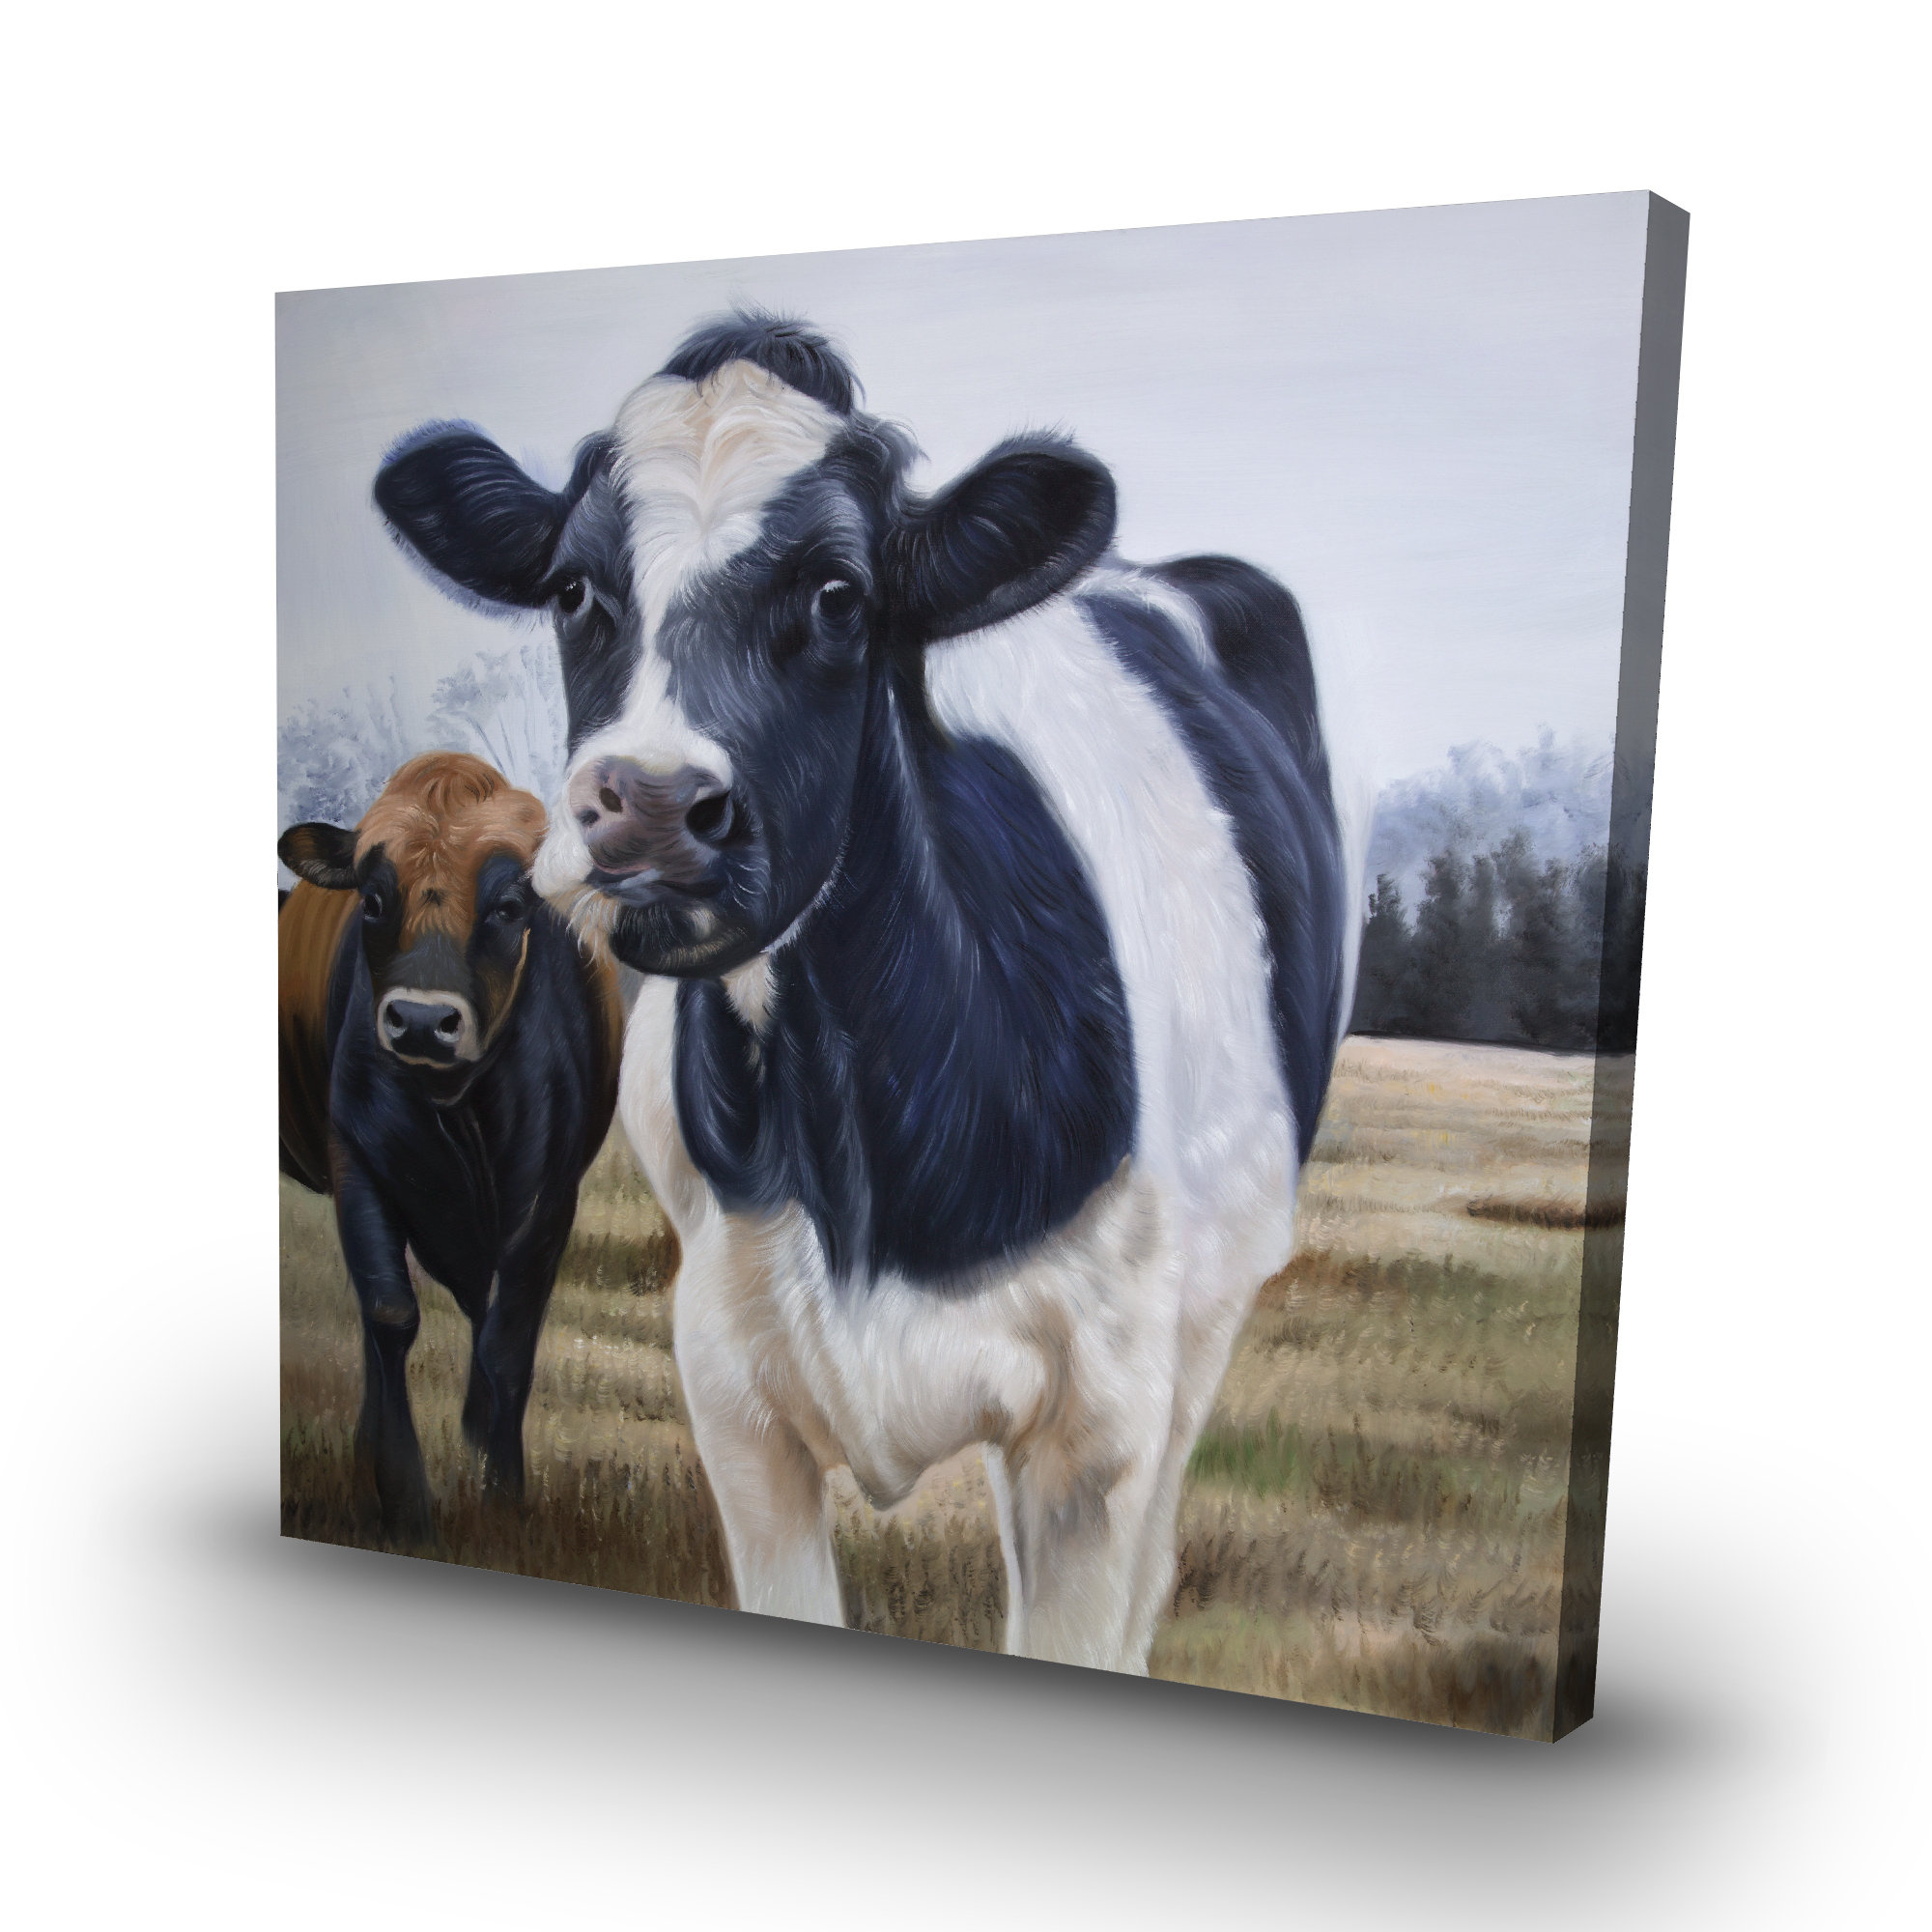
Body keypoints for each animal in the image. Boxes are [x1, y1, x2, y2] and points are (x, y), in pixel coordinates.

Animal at [279, 752, 623, 1541]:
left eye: (509, 906)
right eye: (374, 900)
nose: (419, 1021)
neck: (460, 1109)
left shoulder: (551, 1202)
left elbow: (506, 1343)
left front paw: (503, 1494)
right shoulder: (356, 1166)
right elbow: (389, 1313)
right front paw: (403, 1497)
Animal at [371, 312, 1364, 1667]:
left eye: (838, 591)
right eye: (573, 588)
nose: (645, 803)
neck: (851, 1123)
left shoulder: (1098, 1425)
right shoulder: (730, 1389)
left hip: (1206, 1314)